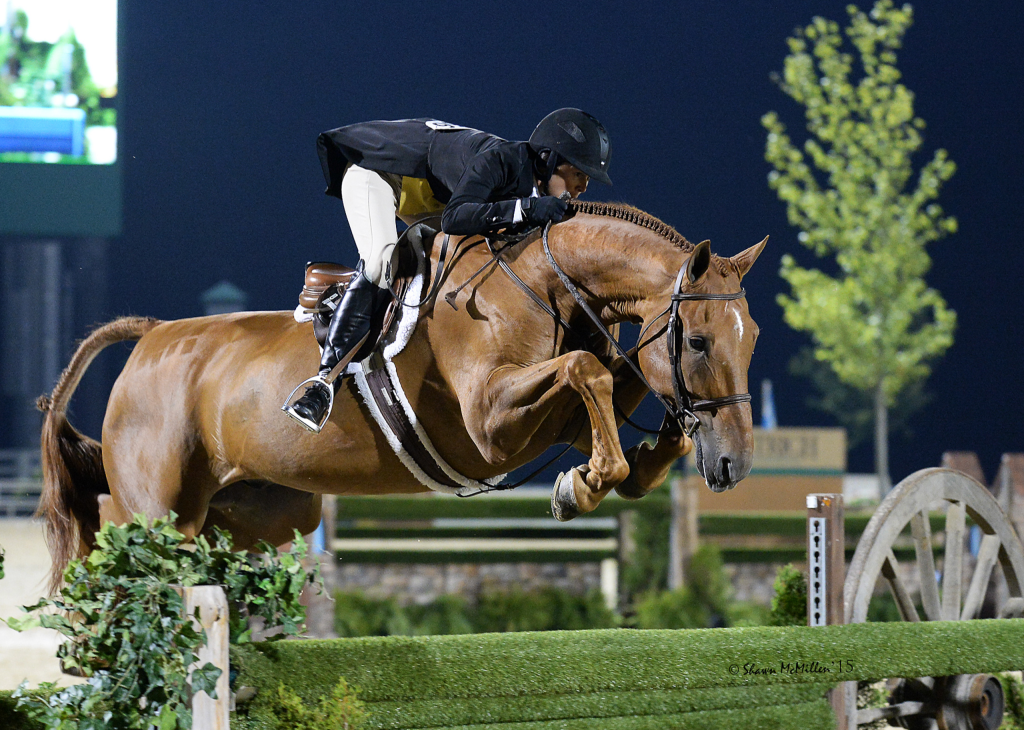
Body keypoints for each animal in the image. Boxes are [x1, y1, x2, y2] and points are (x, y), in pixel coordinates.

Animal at [37, 200, 766, 592]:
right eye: (700, 342)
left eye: (752, 337)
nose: (734, 467)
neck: (540, 282)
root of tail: (152, 334)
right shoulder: (489, 427)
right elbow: (589, 370)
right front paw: (579, 487)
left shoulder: (549, 419)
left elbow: (618, 402)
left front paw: (619, 466)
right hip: (159, 509)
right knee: (112, 544)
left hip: (253, 514)